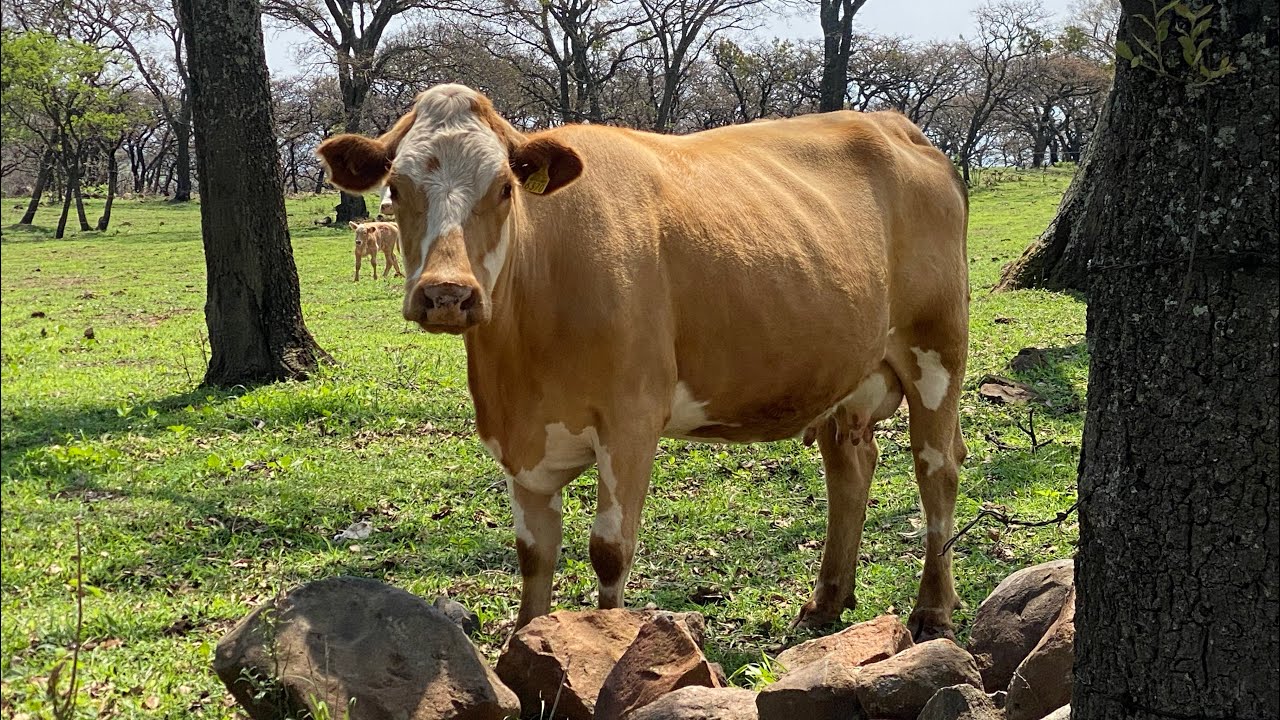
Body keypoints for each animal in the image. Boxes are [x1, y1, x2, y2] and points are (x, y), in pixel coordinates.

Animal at [318, 84, 970, 641]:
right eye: (396, 189)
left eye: (503, 187)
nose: (447, 293)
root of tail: (897, 125)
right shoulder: (520, 442)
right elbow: (534, 555)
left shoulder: (631, 419)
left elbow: (610, 551)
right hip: (845, 371)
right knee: (850, 466)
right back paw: (827, 600)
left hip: (936, 349)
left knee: (937, 468)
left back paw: (933, 610)